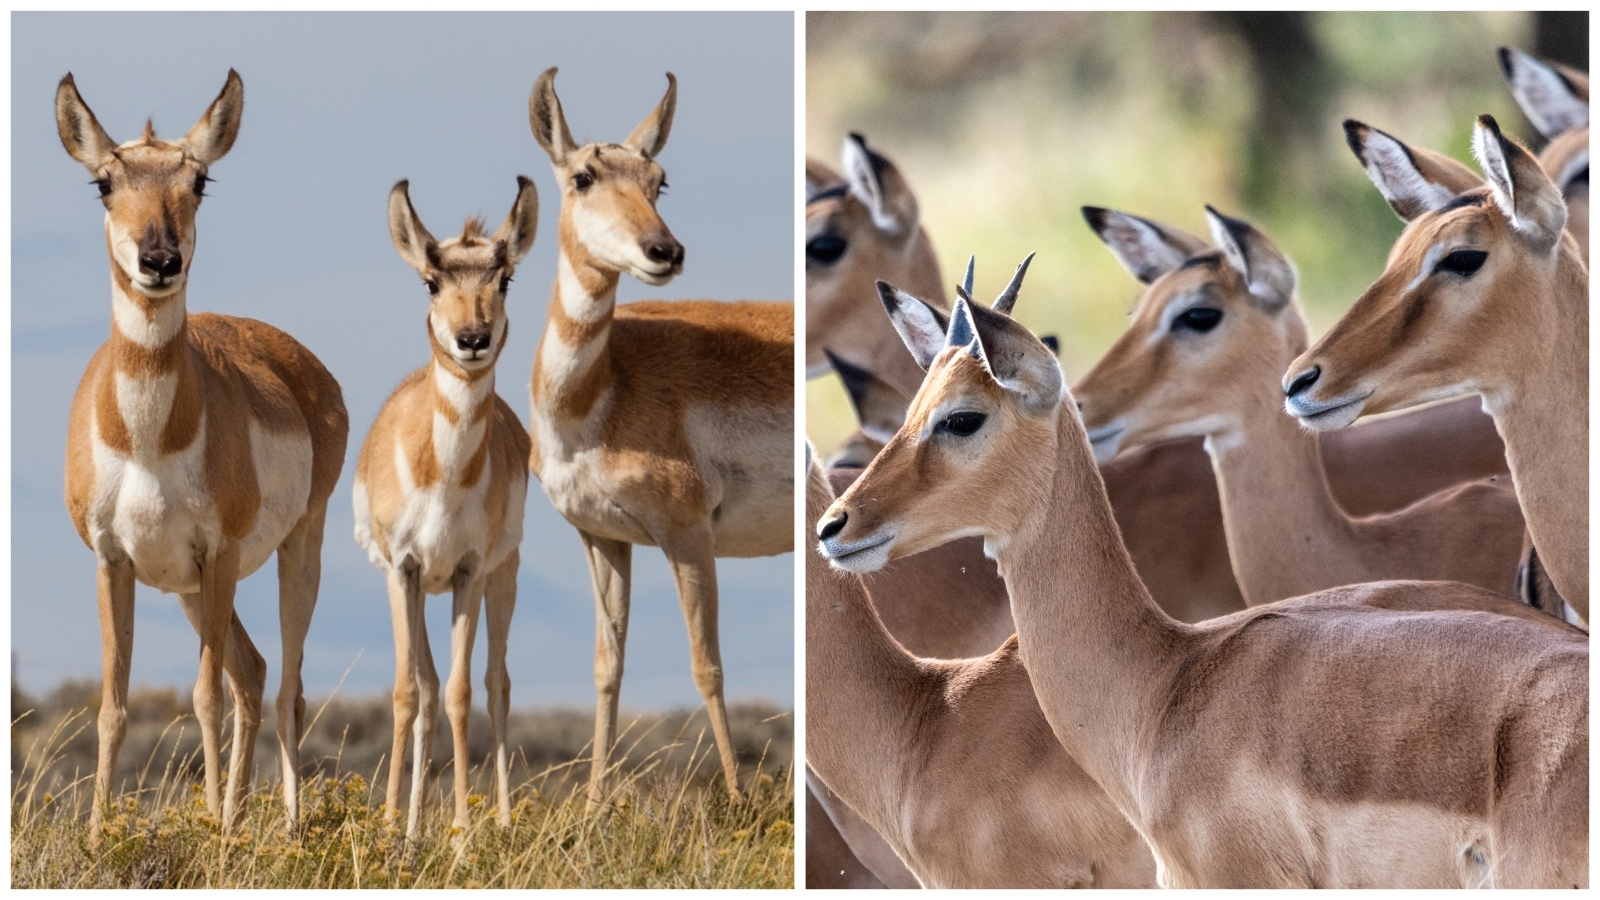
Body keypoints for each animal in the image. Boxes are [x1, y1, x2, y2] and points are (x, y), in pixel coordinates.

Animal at [55, 71, 349, 845]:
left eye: (200, 179)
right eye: (104, 181)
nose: (160, 261)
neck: (149, 441)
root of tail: (299, 362)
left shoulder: (217, 554)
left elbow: (203, 696)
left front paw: (215, 836)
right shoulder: (114, 561)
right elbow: (113, 704)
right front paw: (95, 840)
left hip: (293, 552)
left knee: (284, 687)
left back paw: (280, 830)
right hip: (188, 589)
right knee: (254, 673)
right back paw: (240, 817)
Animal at [352, 180, 536, 837]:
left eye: (505, 277)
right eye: (431, 281)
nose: (472, 339)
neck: (443, 474)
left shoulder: (467, 572)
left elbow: (461, 693)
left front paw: (459, 836)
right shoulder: (402, 570)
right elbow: (410, 692)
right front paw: (389, 832)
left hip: (503, 576)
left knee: (496, 682)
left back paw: (501, 822)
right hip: (420, 587)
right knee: (428, 689)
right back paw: (409, 829)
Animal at [525, 68, 792, 804]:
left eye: (659, 180)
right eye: (583, 175)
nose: (665, 252)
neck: (605, 387)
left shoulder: (687, 534)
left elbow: (707, 665)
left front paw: (738, 802)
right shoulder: (603, 538)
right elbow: (606, 666)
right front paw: (593, 809)